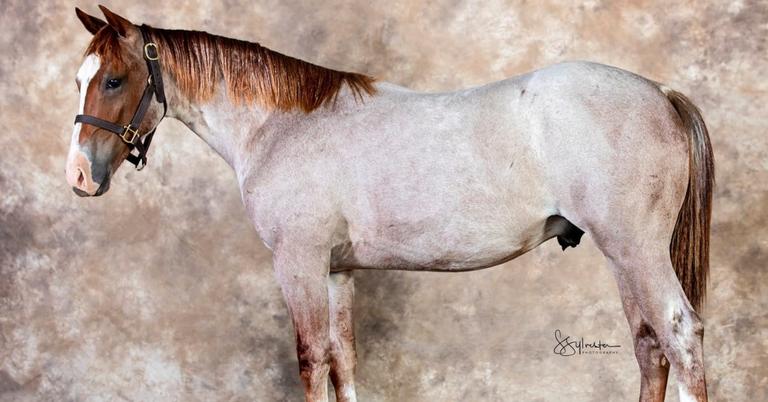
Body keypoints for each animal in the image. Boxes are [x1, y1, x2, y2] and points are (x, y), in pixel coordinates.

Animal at [66, 6, 713, 402]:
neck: (282, 127)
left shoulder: (298, 265)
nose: (78, 176)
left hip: (637, 251)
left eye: (115, 80)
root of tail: (661, 93)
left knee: (679, 336)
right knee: (650, 344)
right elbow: (342, 359)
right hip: (623, 257)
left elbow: (311, 358)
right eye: (79, 79)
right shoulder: (336, 272)